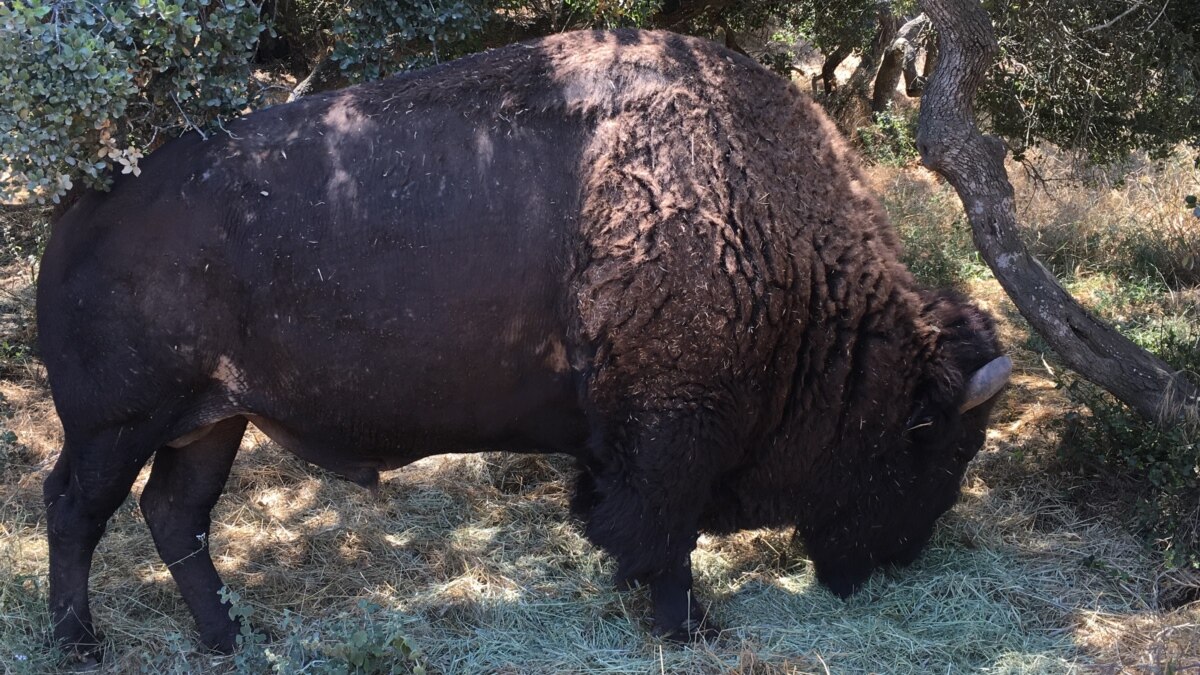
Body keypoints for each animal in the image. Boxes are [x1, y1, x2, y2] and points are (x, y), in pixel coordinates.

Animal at [37, 29, 1010, 655]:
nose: (898, 561)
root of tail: (83, 203)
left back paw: (231, 637)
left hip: (212, 419)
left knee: (175, 514)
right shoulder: (672, 433)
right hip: (116, 425)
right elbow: (665, 533)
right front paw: (689, 625)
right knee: (76, 507)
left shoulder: (630, 439)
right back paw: (83, 643)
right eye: (939, 447)